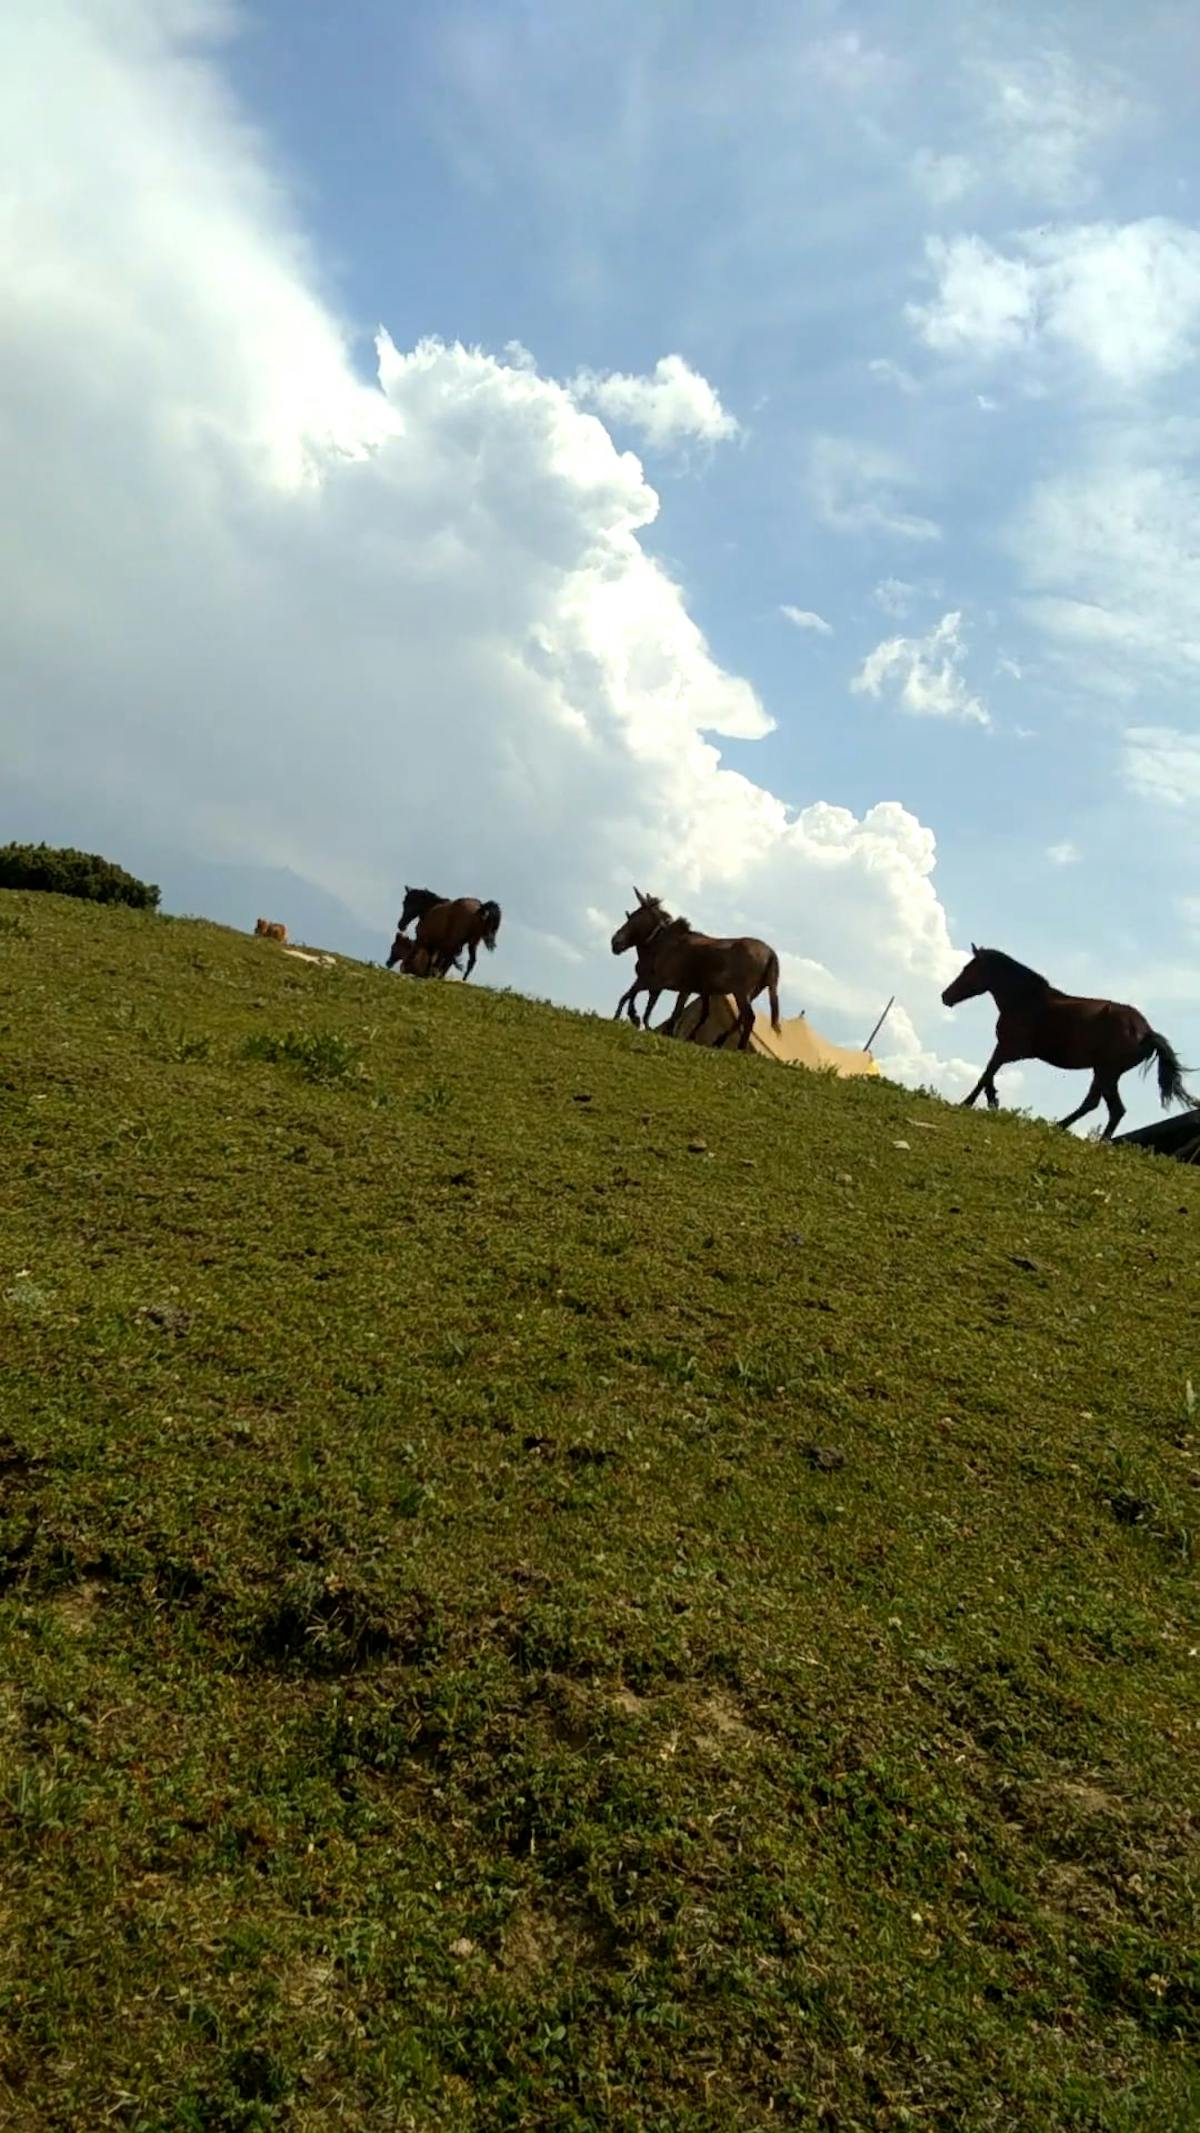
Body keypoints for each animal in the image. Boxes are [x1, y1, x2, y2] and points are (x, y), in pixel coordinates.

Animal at [611, 889, 782, 1052]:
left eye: (635, 916)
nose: (615, 943)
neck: (663, 944)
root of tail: (771, 953)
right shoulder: (682, 988)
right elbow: (669, 1008)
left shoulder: (659, 981)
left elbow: (631, 994)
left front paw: (628, 1017)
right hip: (750, 993)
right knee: (740, 1018)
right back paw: (718, 1042)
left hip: (741, 992)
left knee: (749, 1018)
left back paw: (739, 1048)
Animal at [942, 944, 1194, 1139]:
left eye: (968, 969)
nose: (945, 996)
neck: (1026, 1001)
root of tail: (1146, 1032)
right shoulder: (1009, 1050)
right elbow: (989, 1074)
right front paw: (992, 1100)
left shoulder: (1011, 1049)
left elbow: (987, 1073)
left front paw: (969, 1102)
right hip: (1108, 1075)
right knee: (1115, 1110)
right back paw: (1098, 1142)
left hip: (1106, 1071)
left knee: (1095, 1104)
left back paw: (1058, 1127)